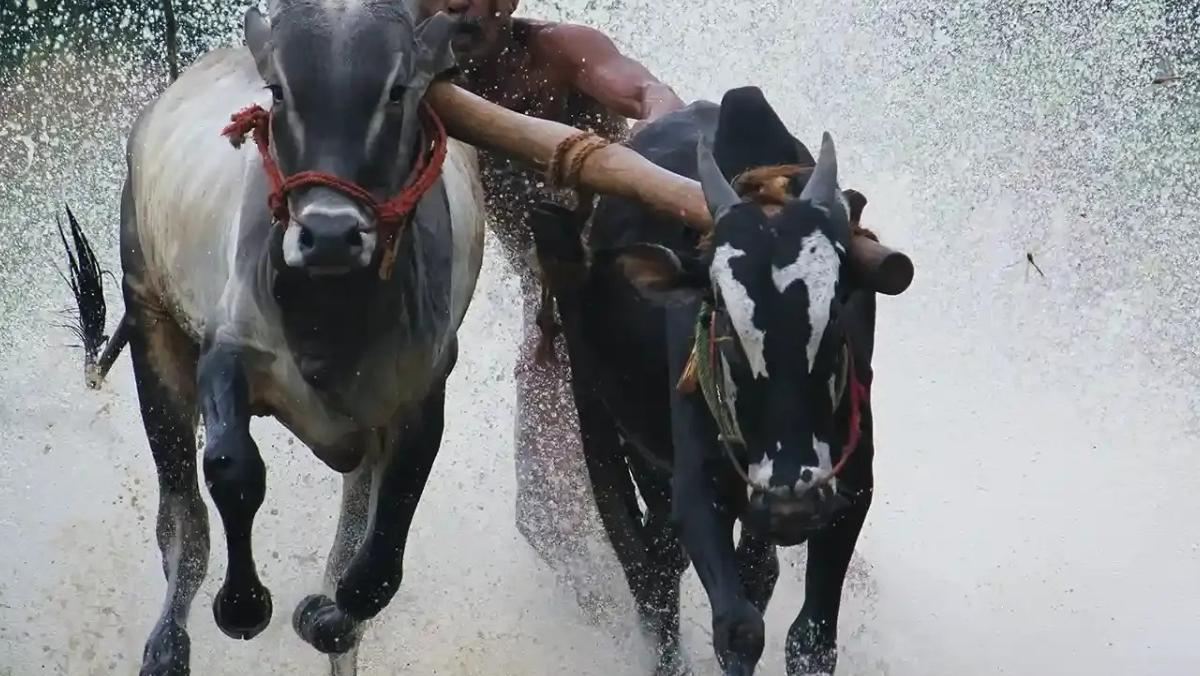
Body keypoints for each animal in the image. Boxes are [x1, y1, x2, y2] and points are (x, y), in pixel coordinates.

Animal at [56, 2, 484, 674]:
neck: (332, 314)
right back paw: (167, 644)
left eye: (397, 90)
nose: (329, 234)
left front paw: (327, 617)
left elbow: (378, 558)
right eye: (279, 90)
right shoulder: (227, 354)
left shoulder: (421, 394)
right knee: (182, 516)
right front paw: (242, 606)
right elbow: (232, 470)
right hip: (152, 324)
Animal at [530, 86, 885, 676]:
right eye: (722, 316)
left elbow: (809, 639)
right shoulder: (696, 489)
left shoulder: (852, 487)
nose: (792, 503)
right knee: (647, 569)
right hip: (597, 417)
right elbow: (738, 629)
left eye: (834, 311)